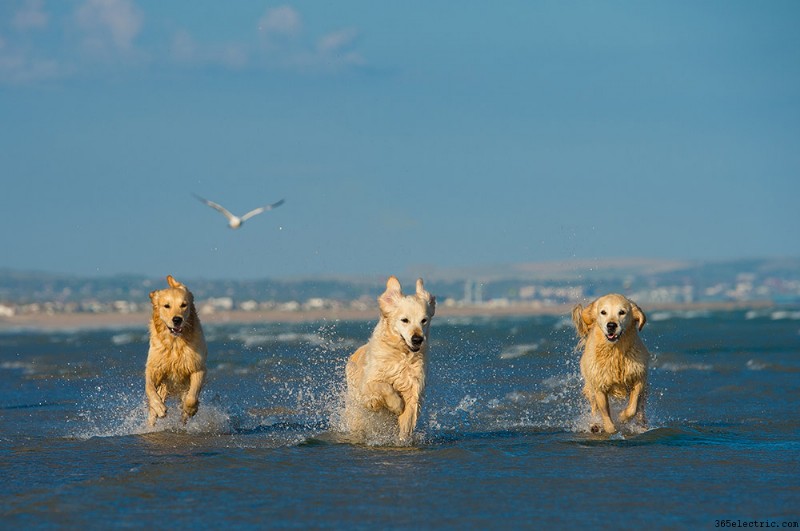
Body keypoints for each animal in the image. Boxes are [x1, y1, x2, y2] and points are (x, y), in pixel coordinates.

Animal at [145, 276, 206, 426]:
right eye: (166, 306)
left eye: (183, 305)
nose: (177, 319)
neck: (175, 342)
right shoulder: (154, 367)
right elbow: (149, 388)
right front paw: (159, 407)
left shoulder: (197, 367)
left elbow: (192, 396)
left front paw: (190, 409)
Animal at [346, 276, 438, 446]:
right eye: (404, 320)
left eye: (424, 320)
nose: (417, 339)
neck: (402, 355)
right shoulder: (368, 383)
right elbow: (384, 386)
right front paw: (396, 405)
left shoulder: (414, 388)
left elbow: (408, 417)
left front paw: (402, 440)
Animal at [568, 294, 648, 434]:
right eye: (603, 312)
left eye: (622, 312)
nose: (611, 325)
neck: (615, 351)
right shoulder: (599, 385)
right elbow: (604, 412)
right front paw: (610, 428)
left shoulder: (639, 378)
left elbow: (633, 408)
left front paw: (622, 417)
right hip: (590, 386)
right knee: (594, 407)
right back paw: (594, 425)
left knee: (641, 407)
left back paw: (642, 425)